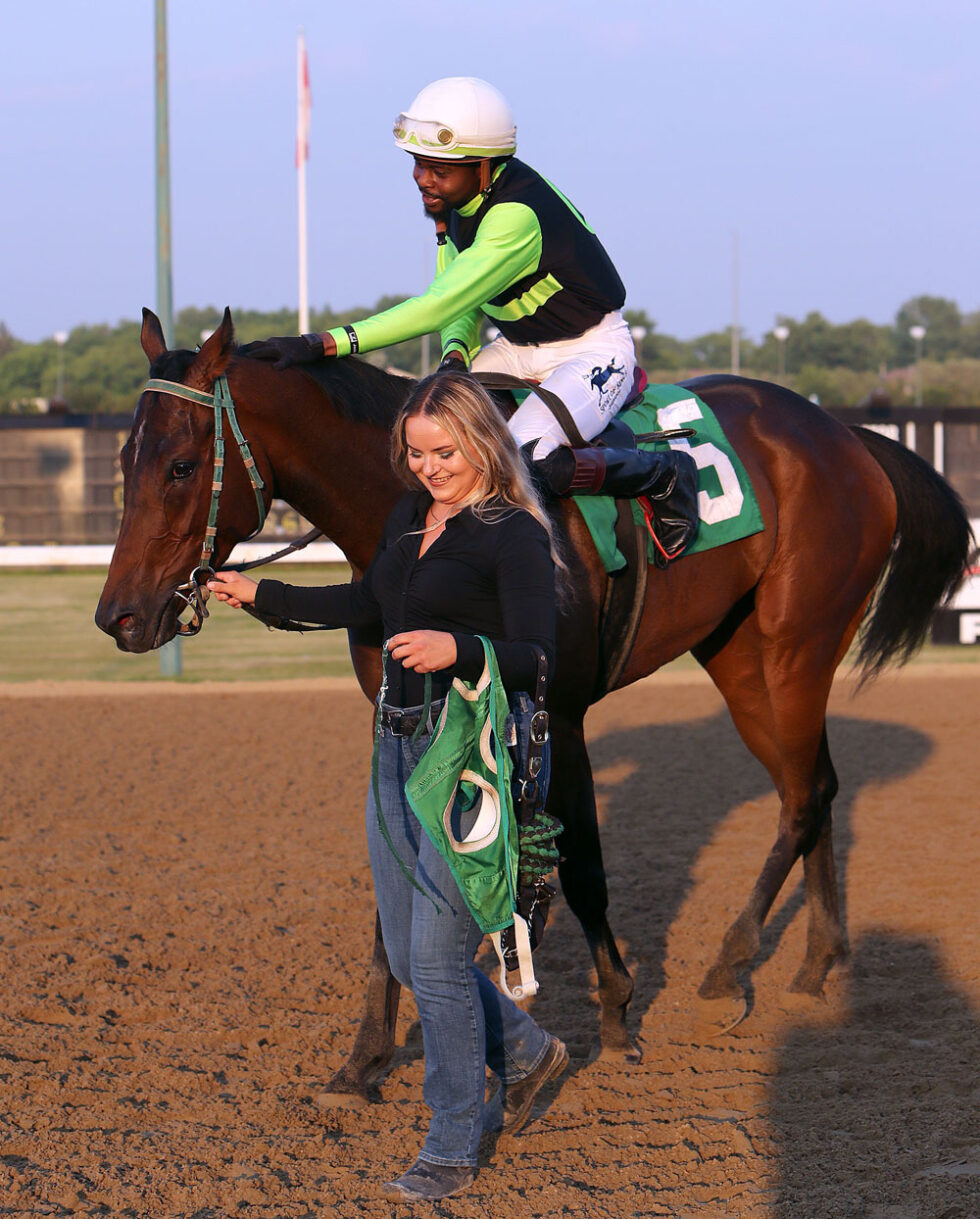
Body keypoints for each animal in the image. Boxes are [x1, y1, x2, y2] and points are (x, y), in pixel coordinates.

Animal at [96, 307, 972, 1100]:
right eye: (125, 458)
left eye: (182, 465)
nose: (120, 616)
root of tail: (846, 435)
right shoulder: (399, 716)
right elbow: (398, 871)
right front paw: (366, 1055)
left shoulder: (560, 712)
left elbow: (582, 864)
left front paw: (617, 1011)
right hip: (738, 653)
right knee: (813, 785)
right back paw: (817, 962)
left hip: (797, 645)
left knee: (802, 796)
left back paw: (727, 969)